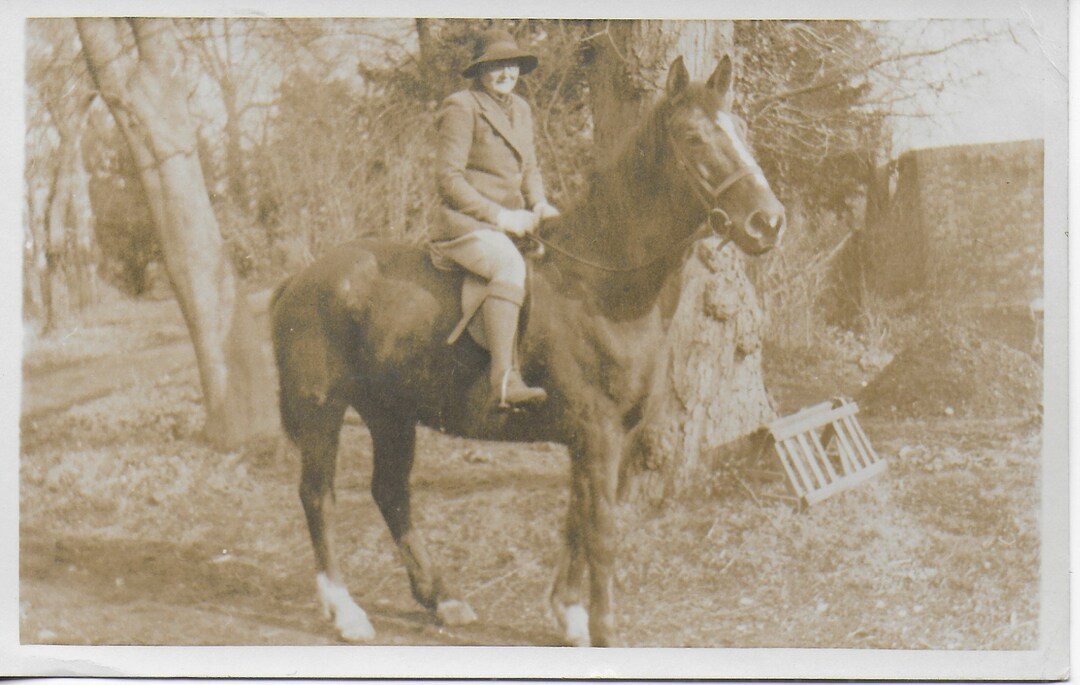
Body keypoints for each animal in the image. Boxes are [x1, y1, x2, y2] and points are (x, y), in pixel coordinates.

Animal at [271, 55, 786, 647]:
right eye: (695, 136)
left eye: (740, 130)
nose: (769, 221)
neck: (605, 286)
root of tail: (302, 278)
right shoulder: (598, 433)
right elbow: (601, 530)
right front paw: (604, 631)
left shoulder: (605, 436)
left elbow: (576, 521)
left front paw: (569, 613)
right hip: (323, 411)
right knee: (318, 495)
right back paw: (346, 610)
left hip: (390, 414)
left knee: (390, 492)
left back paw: (441, 599)